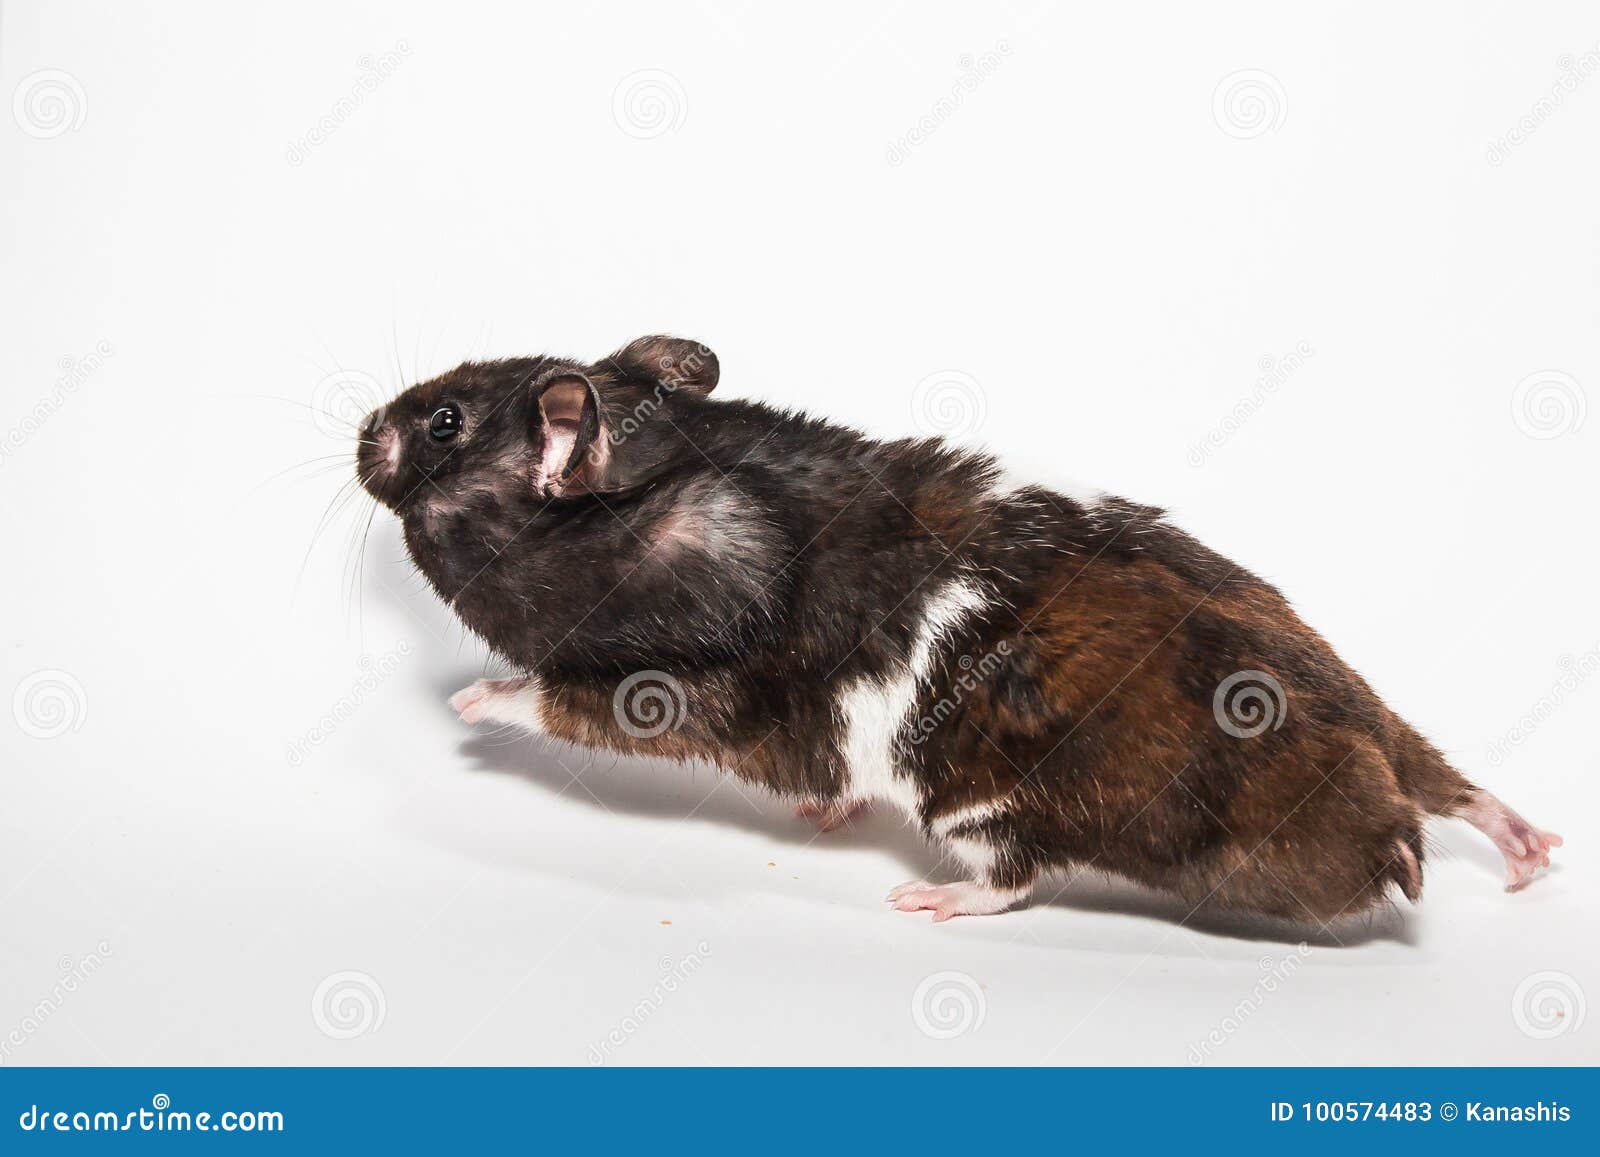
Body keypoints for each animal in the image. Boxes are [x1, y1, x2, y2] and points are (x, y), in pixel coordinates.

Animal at [355, 335, 1562, 923]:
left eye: (445, 421)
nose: (366, 425)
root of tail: (1389, 824)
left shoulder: (687, 696)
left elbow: (562, 698)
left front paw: (467, 699)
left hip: (985, 804)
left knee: (1015, 875)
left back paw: (922, 895)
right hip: (1362, 697)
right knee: (1451, 775)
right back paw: (1527, 851)